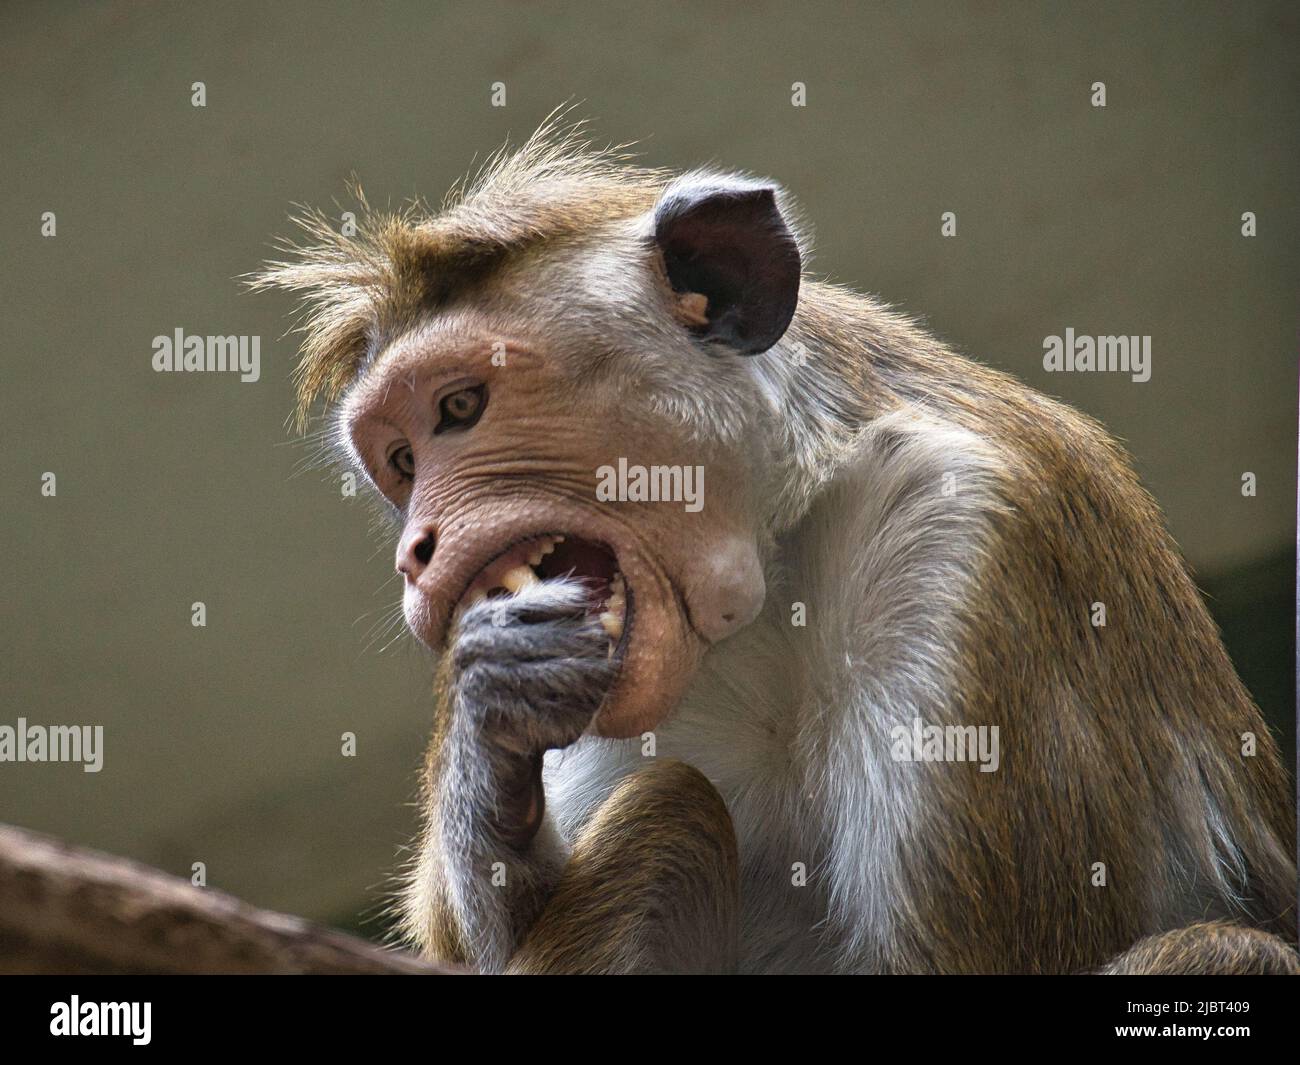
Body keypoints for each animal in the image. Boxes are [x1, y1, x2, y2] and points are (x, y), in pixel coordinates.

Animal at [252, 119, 1297, 974]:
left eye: (461, 406)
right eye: (399, 461)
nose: (419, 550)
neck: (777, 558)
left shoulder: (962, 528)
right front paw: (490, 722)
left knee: (1224, 950)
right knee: (665, 819)